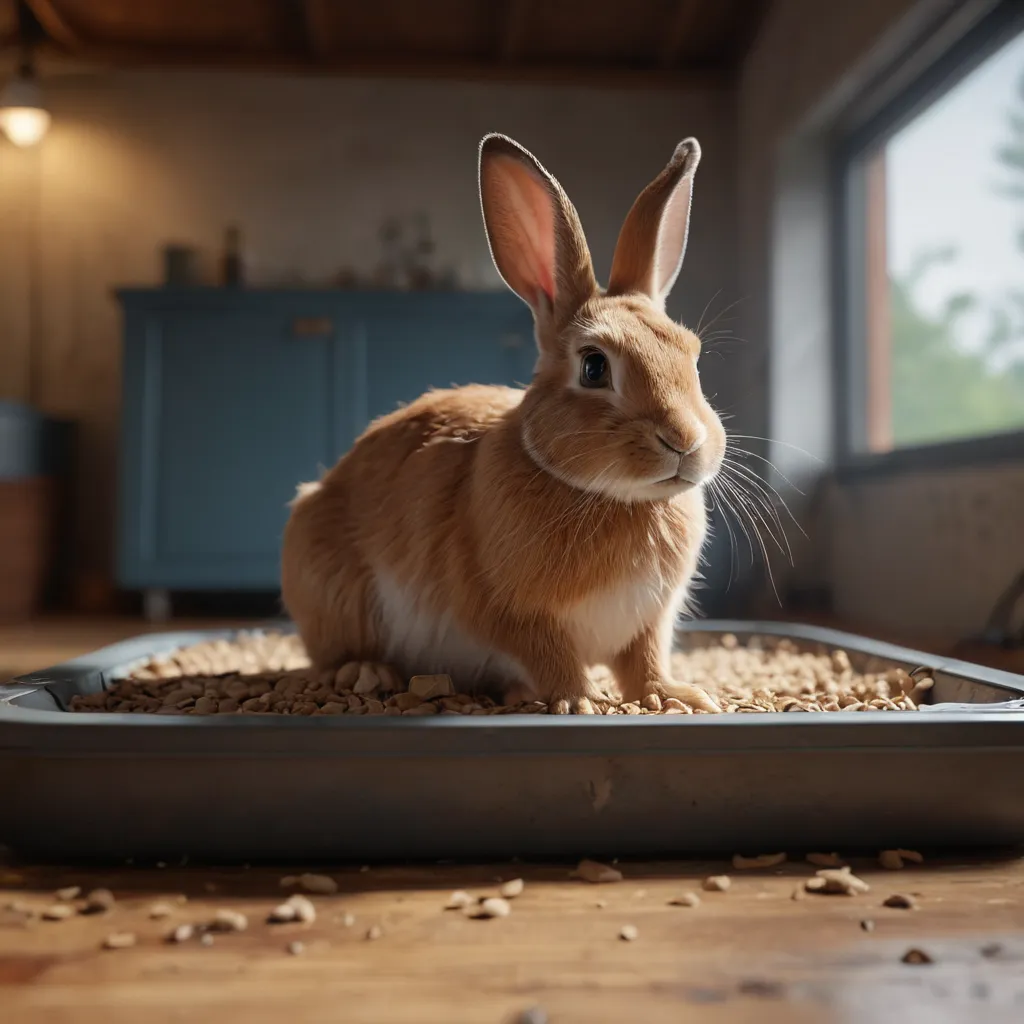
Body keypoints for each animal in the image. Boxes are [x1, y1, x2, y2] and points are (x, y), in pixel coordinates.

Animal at [281, 132, 726, 714]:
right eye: (594, 367)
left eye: (692, 357)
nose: (685, 441)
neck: (611, 495)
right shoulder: (510, 612)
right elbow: (551, 657)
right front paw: (579, 702)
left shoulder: (649, 621)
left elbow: (644, 662)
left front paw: (674, 696)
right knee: (332, 655)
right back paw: (368, 672)